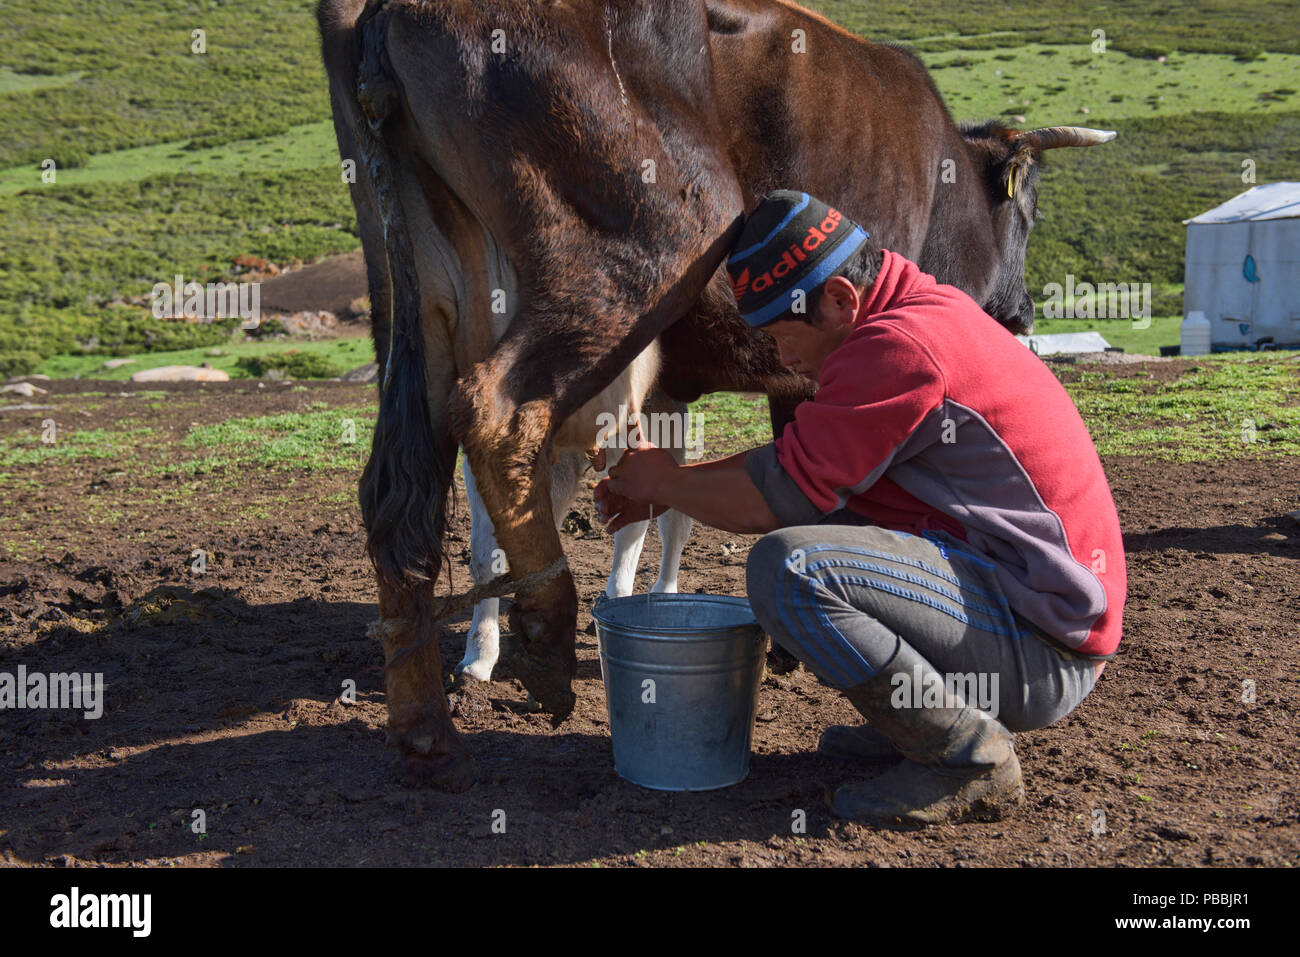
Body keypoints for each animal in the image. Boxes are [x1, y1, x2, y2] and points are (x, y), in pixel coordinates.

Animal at [318, 0, 1116, 790]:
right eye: (1029, 211)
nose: (1022, 315)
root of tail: (388, 9)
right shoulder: (811, 376)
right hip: (651, 242)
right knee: (501, 421)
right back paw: (543, 633)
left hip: (422, 300)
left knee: (407, 493)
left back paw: (431, 720)